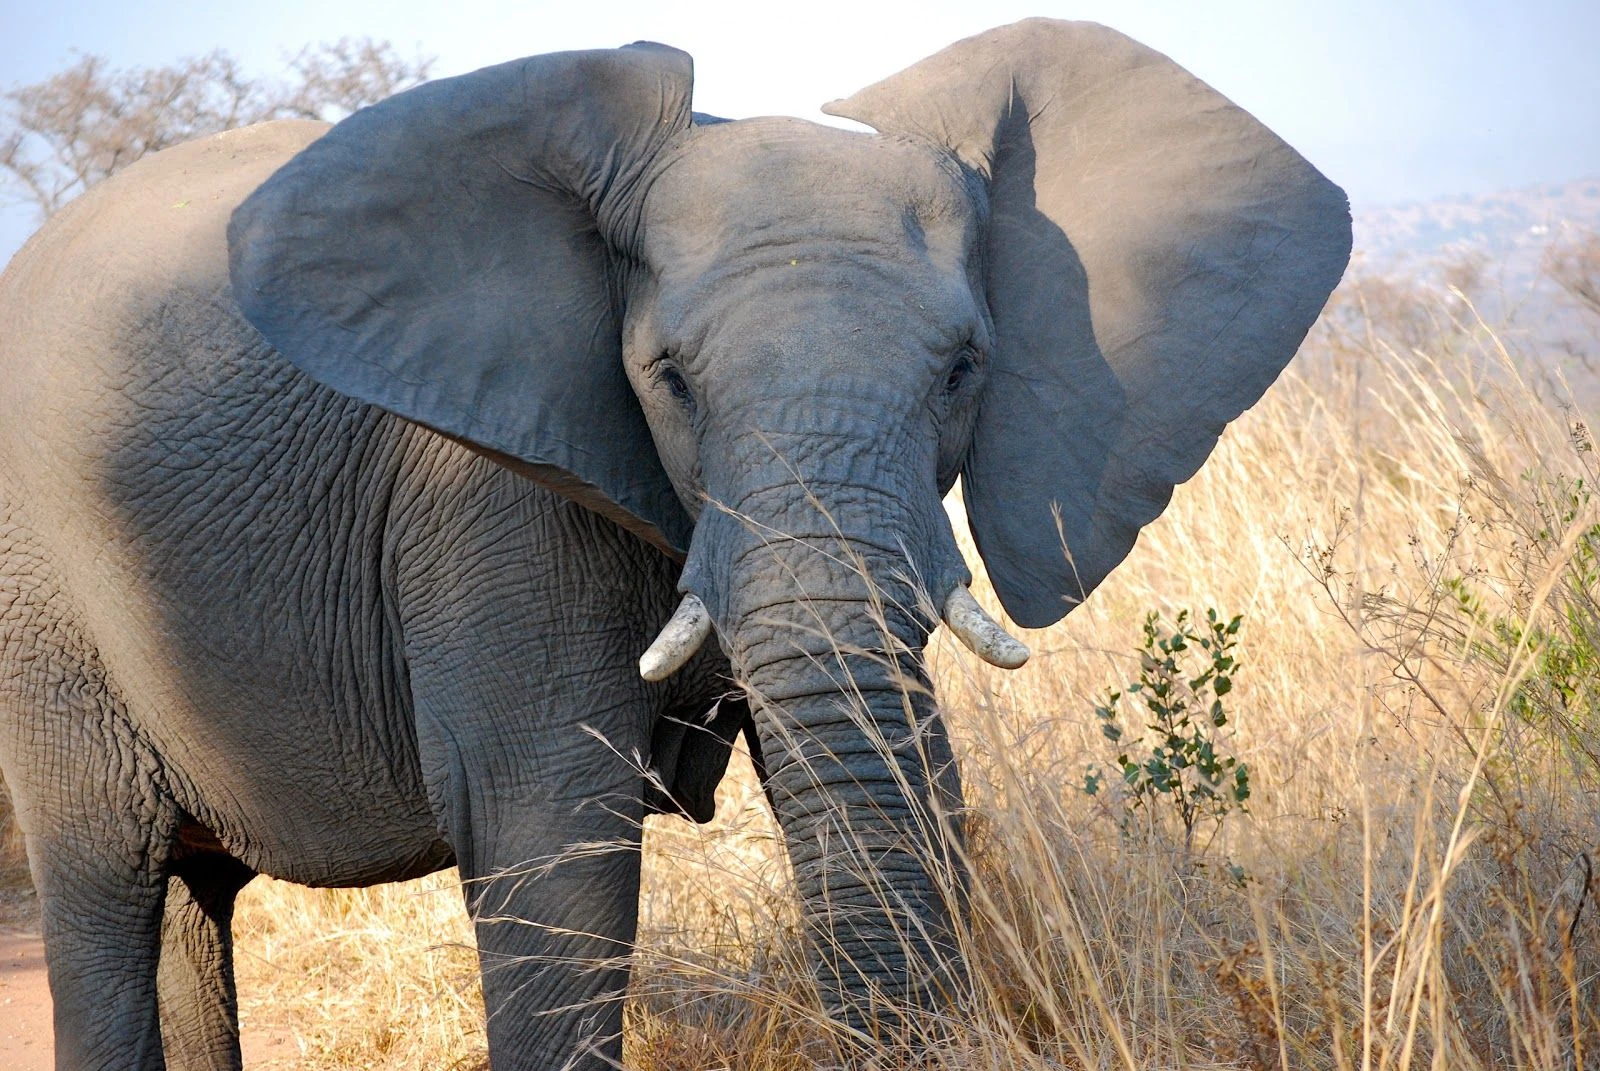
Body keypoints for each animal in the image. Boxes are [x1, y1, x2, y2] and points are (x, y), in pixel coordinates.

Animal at [0, 18, 1350, 1070]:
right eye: (667, 377)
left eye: (966, 368)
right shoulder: (486, 503)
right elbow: (553, 840)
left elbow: (901, 775)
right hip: (43, 607)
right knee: (108, 888)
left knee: (192, 904)